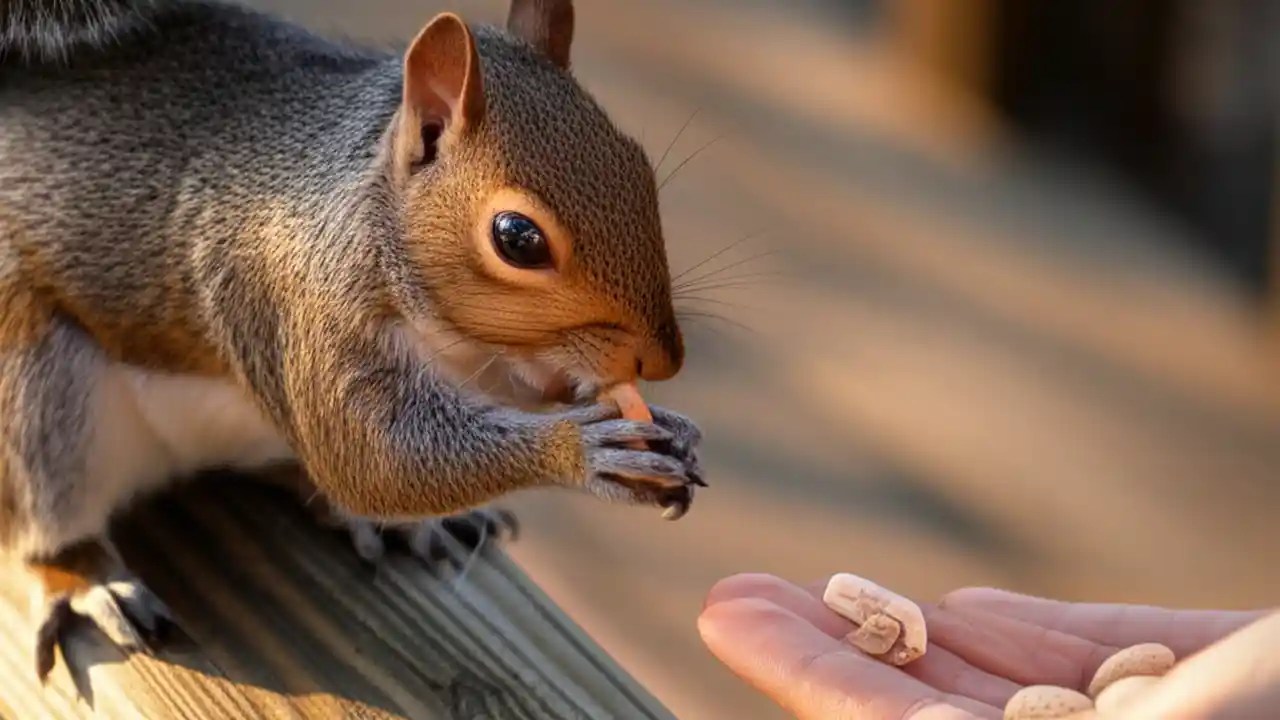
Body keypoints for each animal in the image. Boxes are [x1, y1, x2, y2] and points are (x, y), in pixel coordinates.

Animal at [0, 0, 706, 682]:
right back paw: (86, 578)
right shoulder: (297, 304)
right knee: (47, 517)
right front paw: (585, 450)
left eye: (638, 166)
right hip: (34, 396)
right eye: (517, 238)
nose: (664, 359)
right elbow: (370, 457)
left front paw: (661, 424)